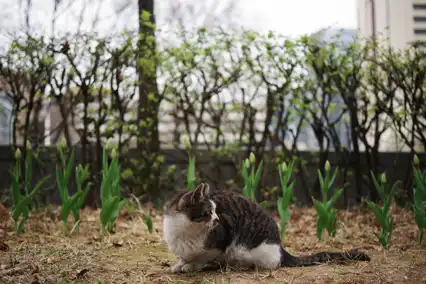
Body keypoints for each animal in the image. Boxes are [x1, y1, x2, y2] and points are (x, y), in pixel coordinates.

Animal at [162, 182, 370, 272]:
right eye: (208, 212)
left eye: (215, 211)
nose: (217, 220)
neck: (186, 230)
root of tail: (280, 248)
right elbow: (185, 255)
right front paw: (181, 264)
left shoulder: (220, 242)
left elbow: (202, 257)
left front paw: (190, 266)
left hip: (244, 250)